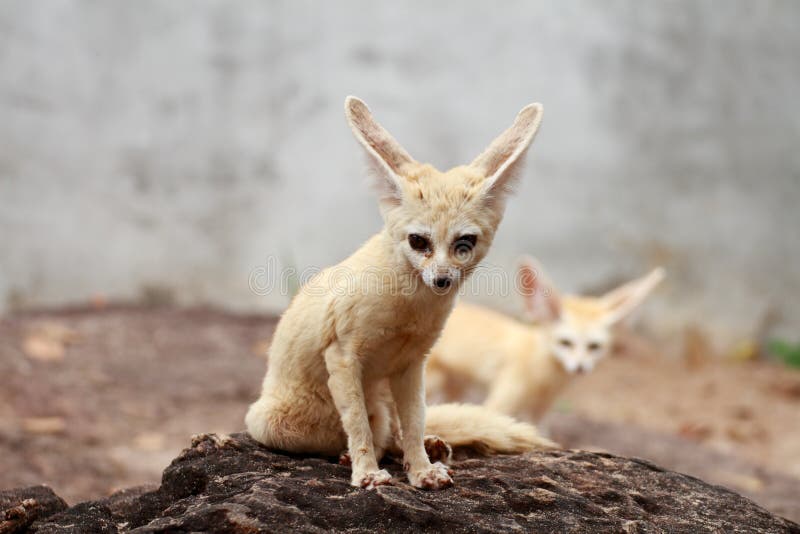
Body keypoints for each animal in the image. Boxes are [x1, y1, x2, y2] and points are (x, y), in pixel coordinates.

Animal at [245, 96, 551, 490]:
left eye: (464, 244)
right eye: (418, 241)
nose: (441, 281)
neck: (409, 310)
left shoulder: (413, 364)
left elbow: (415, 422)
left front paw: (420, 469)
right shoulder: (342, 357)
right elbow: (358, 425)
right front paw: (366, 473)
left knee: (395, 431)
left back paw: (427, 448)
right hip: (270, 422)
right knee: (372, 431)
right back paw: (356, 455)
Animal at [426, 257, 665, 421]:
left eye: (594, 346)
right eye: (565, 342)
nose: (580, 368)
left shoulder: (540, 411)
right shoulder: (502, 401)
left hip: (455, 385)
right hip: (435, 381)